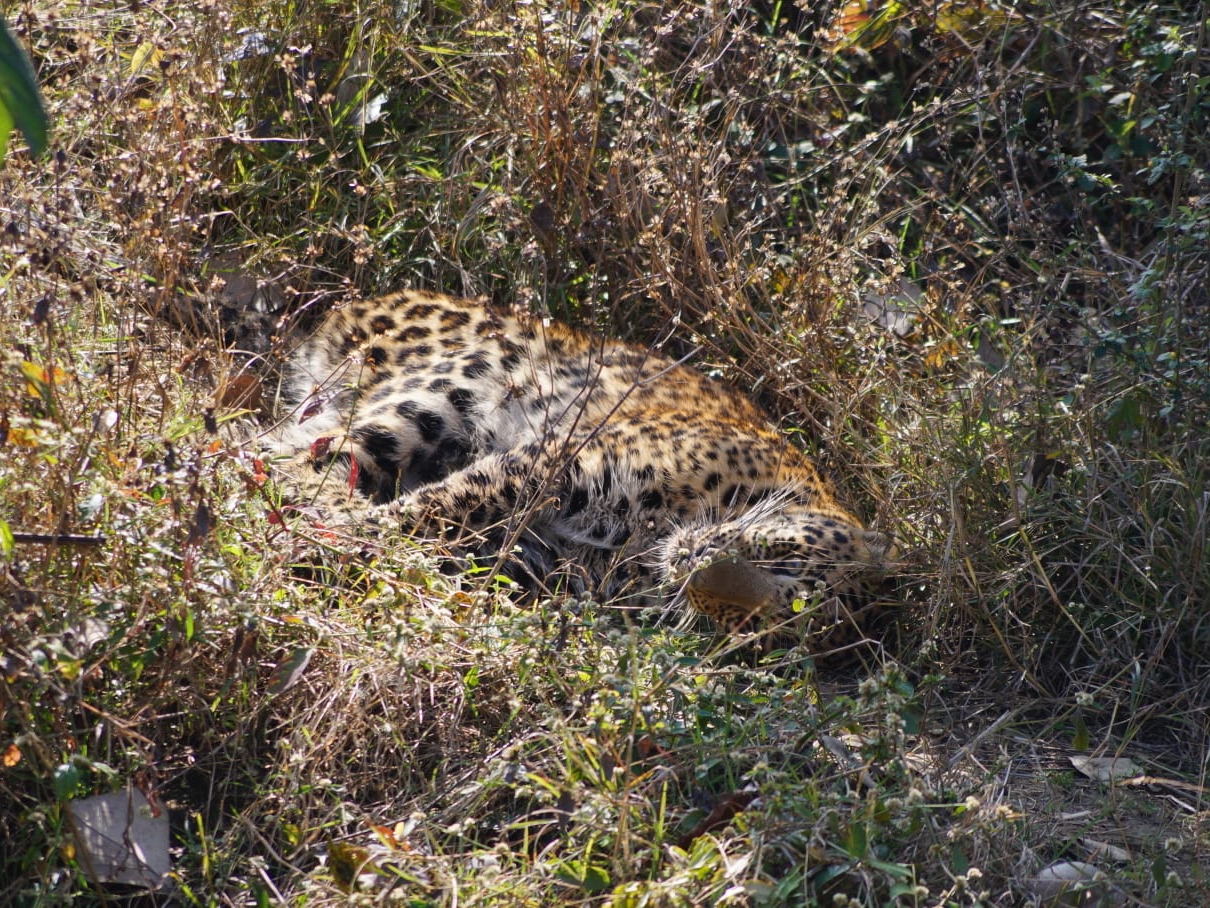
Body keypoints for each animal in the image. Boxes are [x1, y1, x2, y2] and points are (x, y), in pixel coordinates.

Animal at [270, 289, 893, 651]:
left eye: (750, 625)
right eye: (780, 561)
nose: (695, 572)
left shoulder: (555, 563)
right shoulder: (564, 459)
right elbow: (456, 500)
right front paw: (359, 539)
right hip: (442, 393)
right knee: (304, 456)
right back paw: (314, 521)